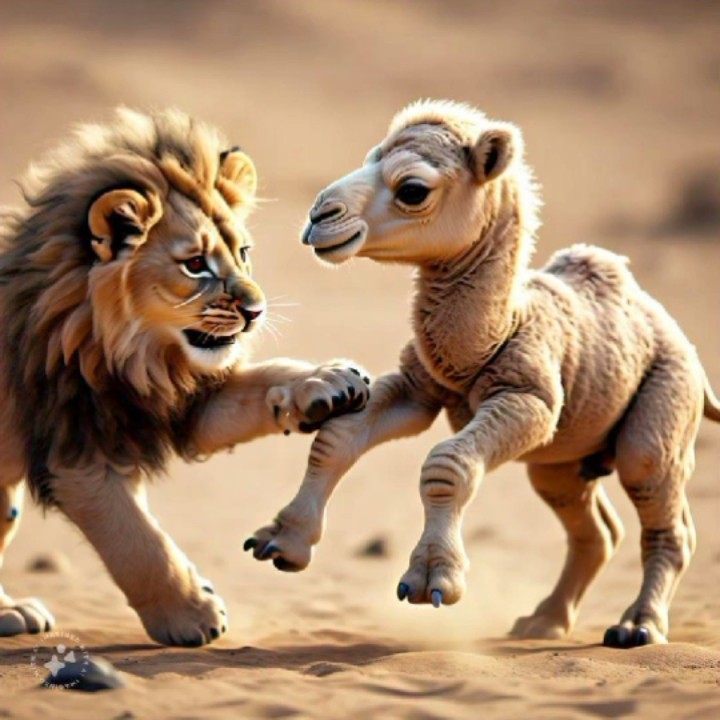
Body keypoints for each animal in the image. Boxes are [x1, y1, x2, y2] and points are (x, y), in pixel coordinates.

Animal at [0, 108, 370, 646]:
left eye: (243, 252)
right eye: (195, 264)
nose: (256, 311)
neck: (135, 355)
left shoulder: (180, 406)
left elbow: (261, 384)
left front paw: (328, 381)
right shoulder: (77, 447)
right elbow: (138, 541)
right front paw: (193, 616)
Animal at [245, 100, 720, 647]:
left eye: (413, 189)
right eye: (369, 158)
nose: (320, 216)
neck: (495, 333)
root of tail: (679, 339)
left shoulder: (526, 396)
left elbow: (446, 464)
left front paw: (431, 581)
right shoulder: (420, 385)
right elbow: (337, 438)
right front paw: (281, 543)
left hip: (666, 392)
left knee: (657, 493)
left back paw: (636, 627)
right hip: (563, 458)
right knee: (593, 526)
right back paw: (542, 622)